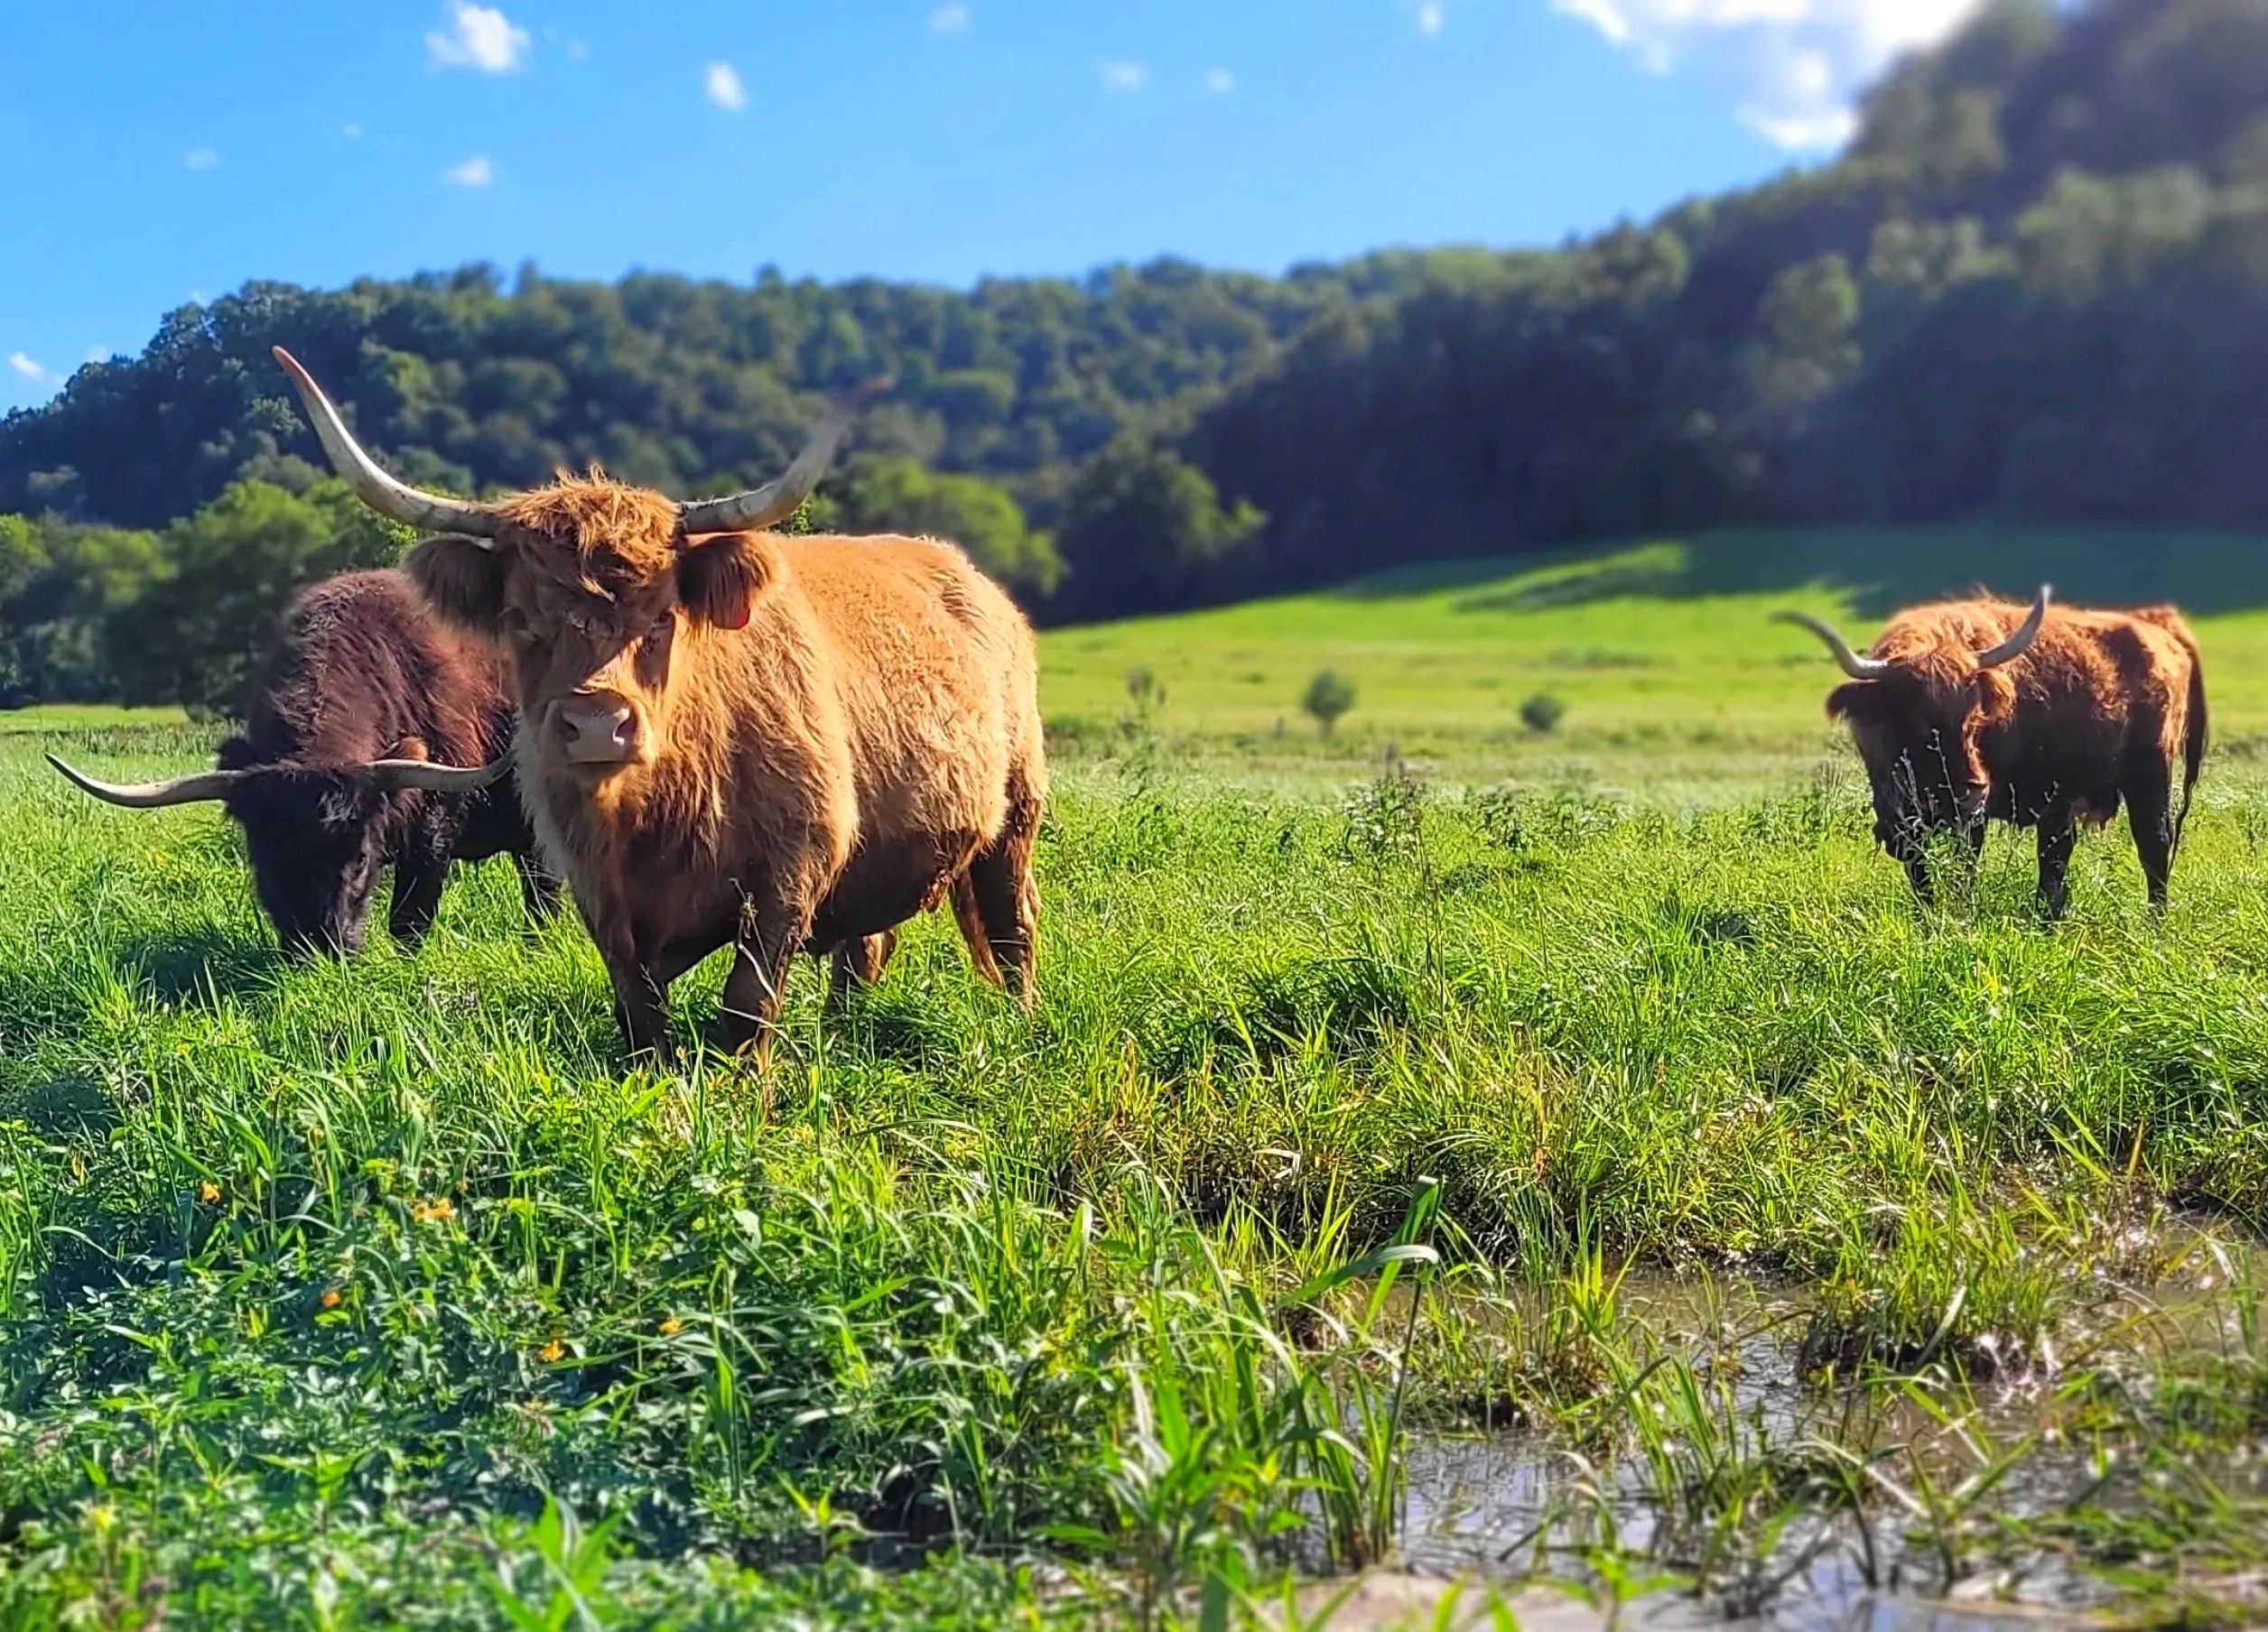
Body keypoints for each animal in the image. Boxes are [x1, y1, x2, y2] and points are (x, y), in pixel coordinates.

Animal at [268, 346, 1046, 1059]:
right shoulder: (596, 892)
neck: (658, 809)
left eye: (663, 616)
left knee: (1012, 927)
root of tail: (962, 569)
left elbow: (745, 1007)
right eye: (520, 619)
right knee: (866, 948)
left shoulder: (790, 868)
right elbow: (639, 1012)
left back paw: (1020, 1028)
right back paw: (842, 1037)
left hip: (1016, 816)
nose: (595, 726)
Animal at [1774, 585, 2206, 916]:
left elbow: (1963, 869)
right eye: (1914, 720)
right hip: (2066, 798)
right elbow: (1920, 872)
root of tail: (2157, 627)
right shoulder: (1897, 818)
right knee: (2056, 859)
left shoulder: (1970, 820)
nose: (1971, 788)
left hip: (2150, 776)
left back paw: (2154, 924)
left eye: (1975, 718)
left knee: (2153, 846)